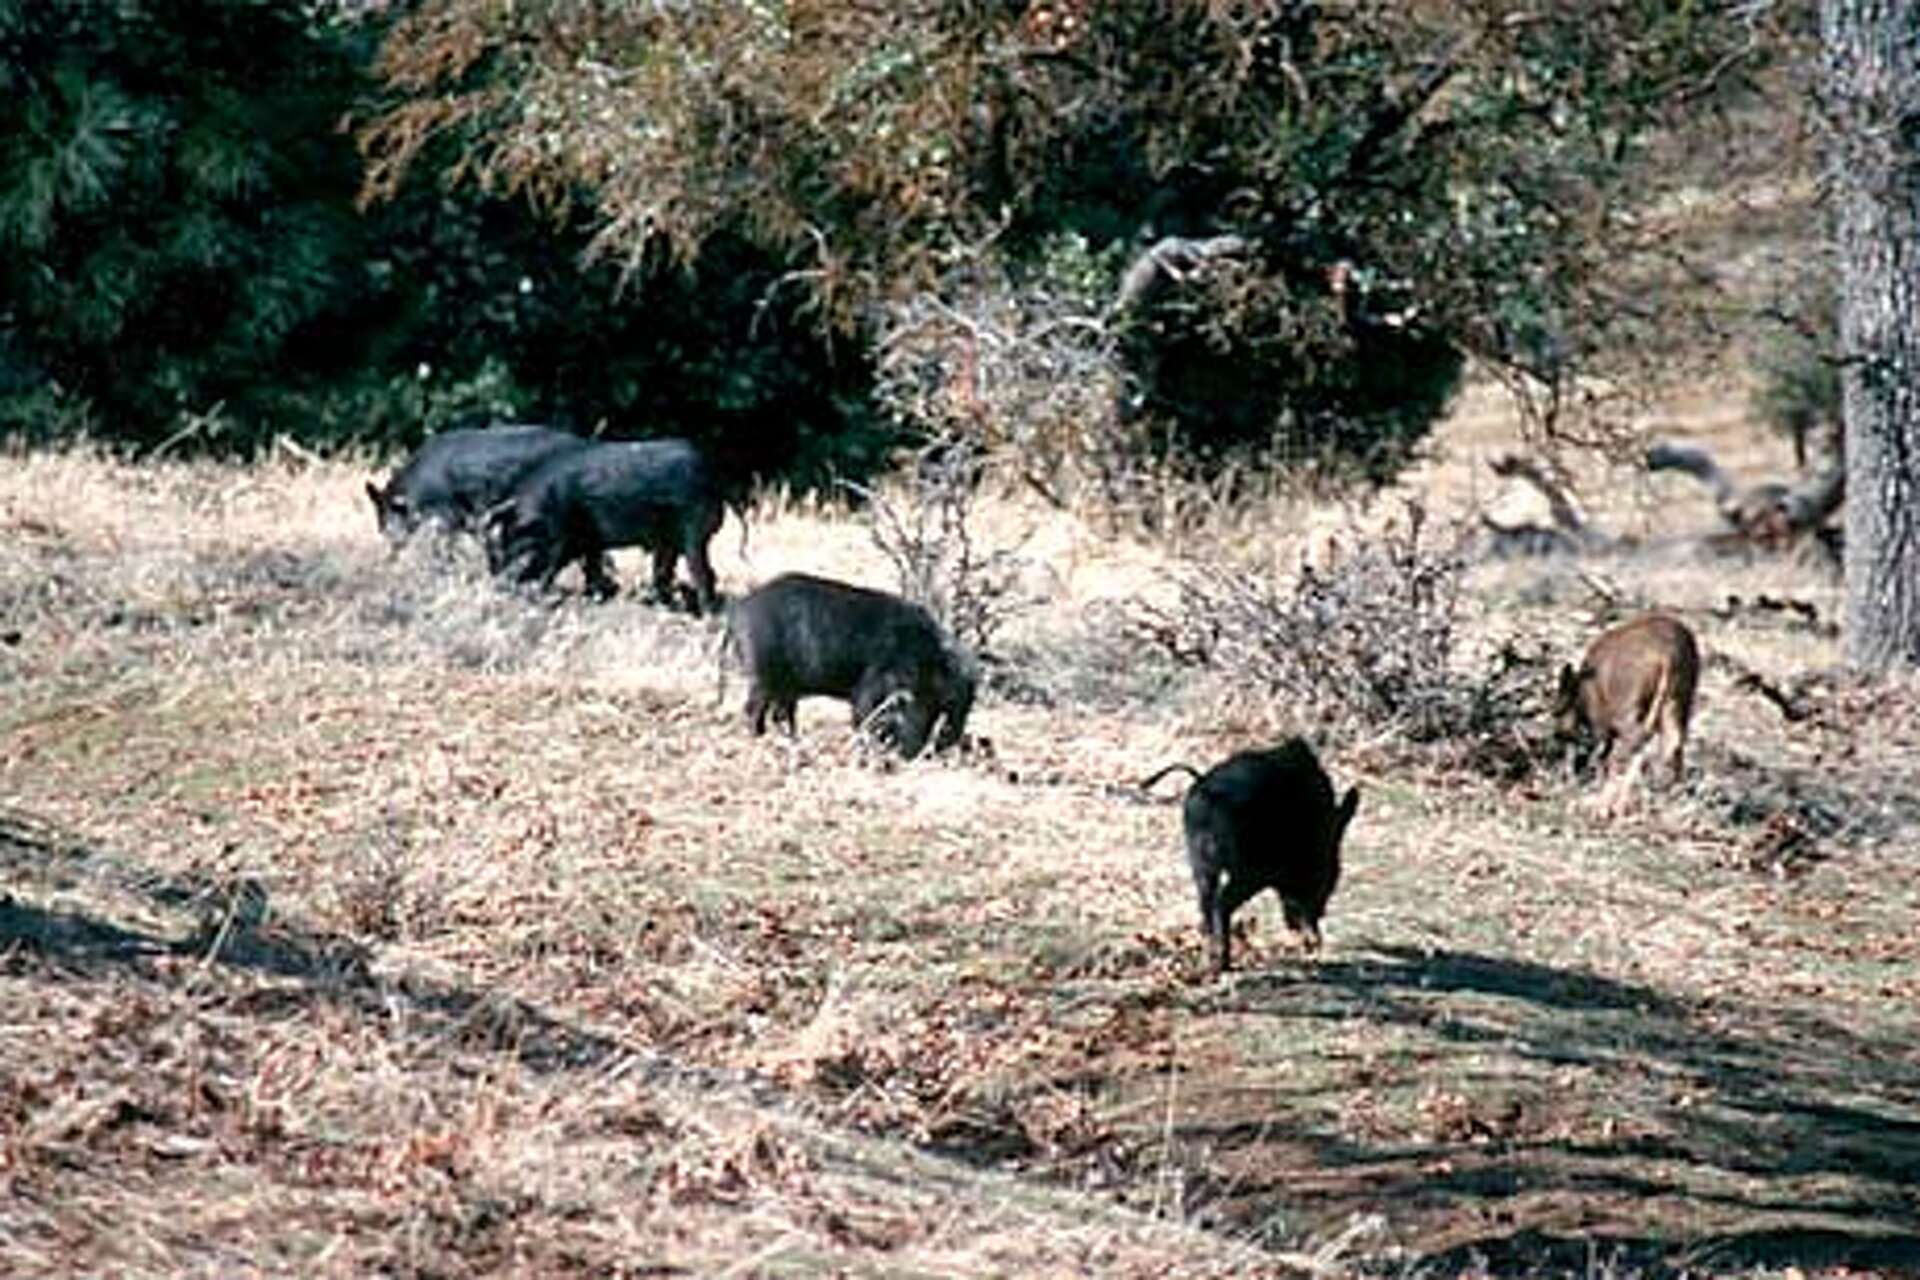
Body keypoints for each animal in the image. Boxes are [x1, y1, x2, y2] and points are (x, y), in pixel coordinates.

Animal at [485, 437, 724, 613]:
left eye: (519, 539)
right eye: (502, 542)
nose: (499, 584)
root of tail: (710, 475)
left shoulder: (560, 539)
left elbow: (552, 569)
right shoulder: (591, 542)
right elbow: (592, 568)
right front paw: (596, 597)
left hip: (693, 531)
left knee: (703, 573)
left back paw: (707, 614)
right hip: (668, 542)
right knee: (667, 572)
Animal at [726, 572, 977, 758]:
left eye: (964, 706)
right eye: (946, 704)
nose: (950, 741)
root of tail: (742, 607)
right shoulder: (873, 691)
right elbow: (865, 716)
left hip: (786, 686)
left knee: (782, 713)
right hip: (765, 678)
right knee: (754, 709)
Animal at [1142, 738, 1360, 976]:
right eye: (1330, 875)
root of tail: (1201, 788)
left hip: (1202, 866)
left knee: (1207, 907)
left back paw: (1211, 960)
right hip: (1248, 873)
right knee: (1222, 904)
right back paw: (1224, 962)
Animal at [1554, 611, 1700, 791]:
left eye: (1557, 711)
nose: (1559, 734)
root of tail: (1667, 655)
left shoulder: (1599, 720)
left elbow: (1601, 748)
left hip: (1629, 708)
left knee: (1636, 738)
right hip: (1679, 697)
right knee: (1674, 738)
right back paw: (1671, 783)